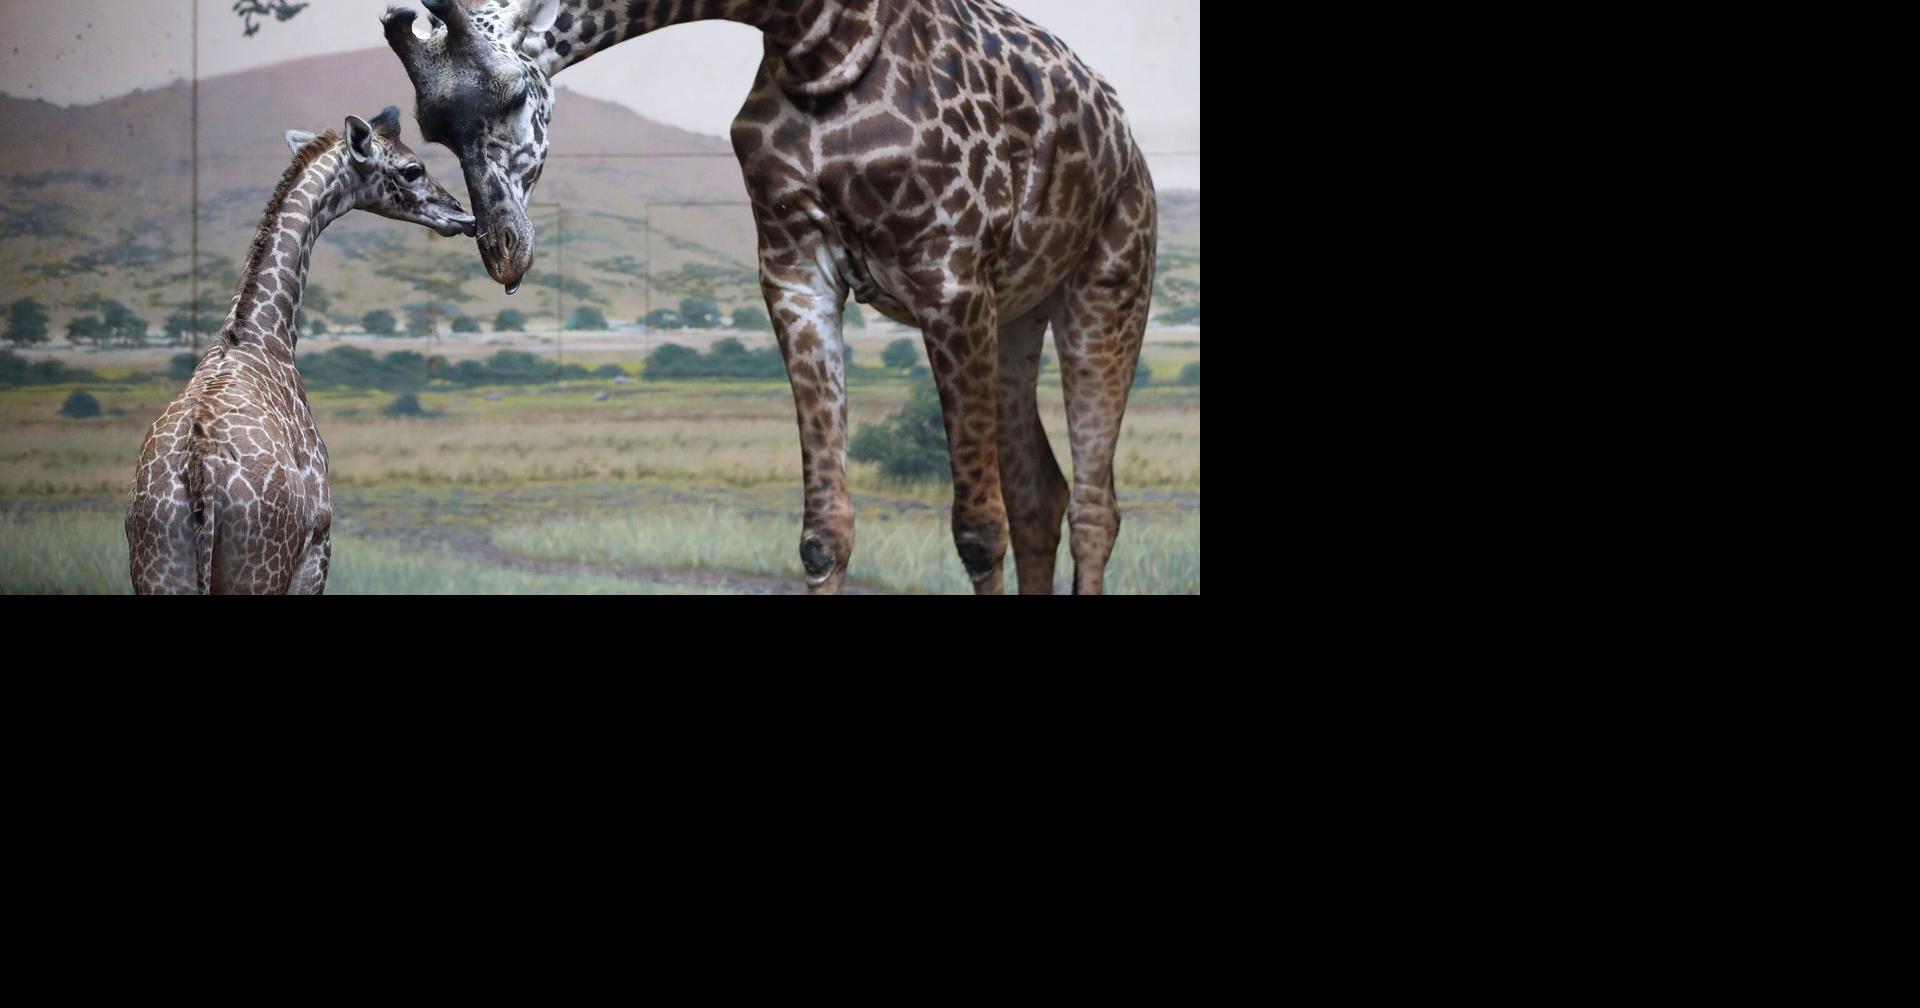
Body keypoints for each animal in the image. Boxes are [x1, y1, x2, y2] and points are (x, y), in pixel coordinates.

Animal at [125, 108, 475, 594]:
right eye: (413, 169)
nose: (462, 215)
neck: (262, 334)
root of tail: (200, 477)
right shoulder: (317, 548)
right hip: (261, 570)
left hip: (158, 568)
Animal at [384, 0, 1157, 594]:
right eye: (431, 129)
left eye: (516, 95)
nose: (502, 249)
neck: (816, 37)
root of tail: (1125, 138)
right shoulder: (794, 271)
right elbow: (824, 533)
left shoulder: (949, 272)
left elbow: (976, 529)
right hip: (1019, 311)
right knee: (1040, 496)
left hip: (1108, 281)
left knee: (1093, 508)